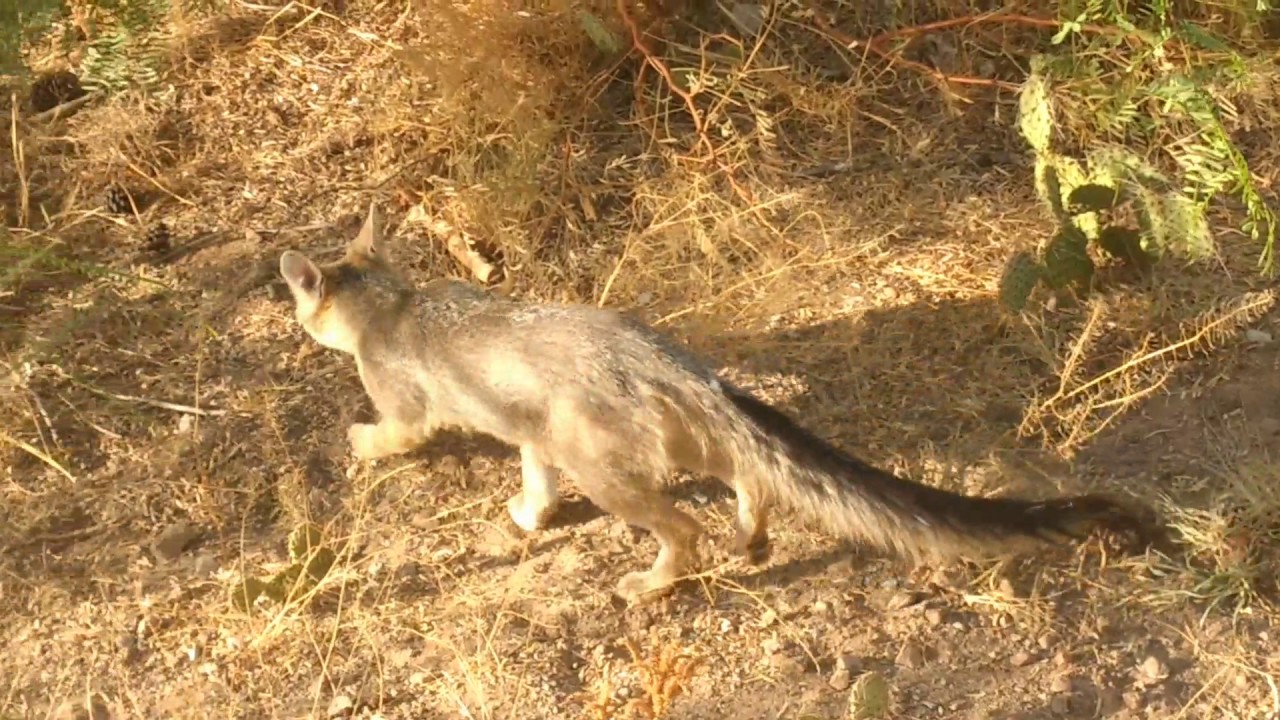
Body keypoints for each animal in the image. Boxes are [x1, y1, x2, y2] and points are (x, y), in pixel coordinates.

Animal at [278, 202, 1147, 604]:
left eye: (302, 308)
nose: (300, 323)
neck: (397, 304)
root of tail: (662, 354)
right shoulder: (532, 431)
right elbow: (534, 483)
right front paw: (528, 517)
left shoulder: (411, 408)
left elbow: (391, 433)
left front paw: (355, 442)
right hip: (656, 443)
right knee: (750, 477)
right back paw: (752, 537)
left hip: (611, 472)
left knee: (686, 527)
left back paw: (654, 583)